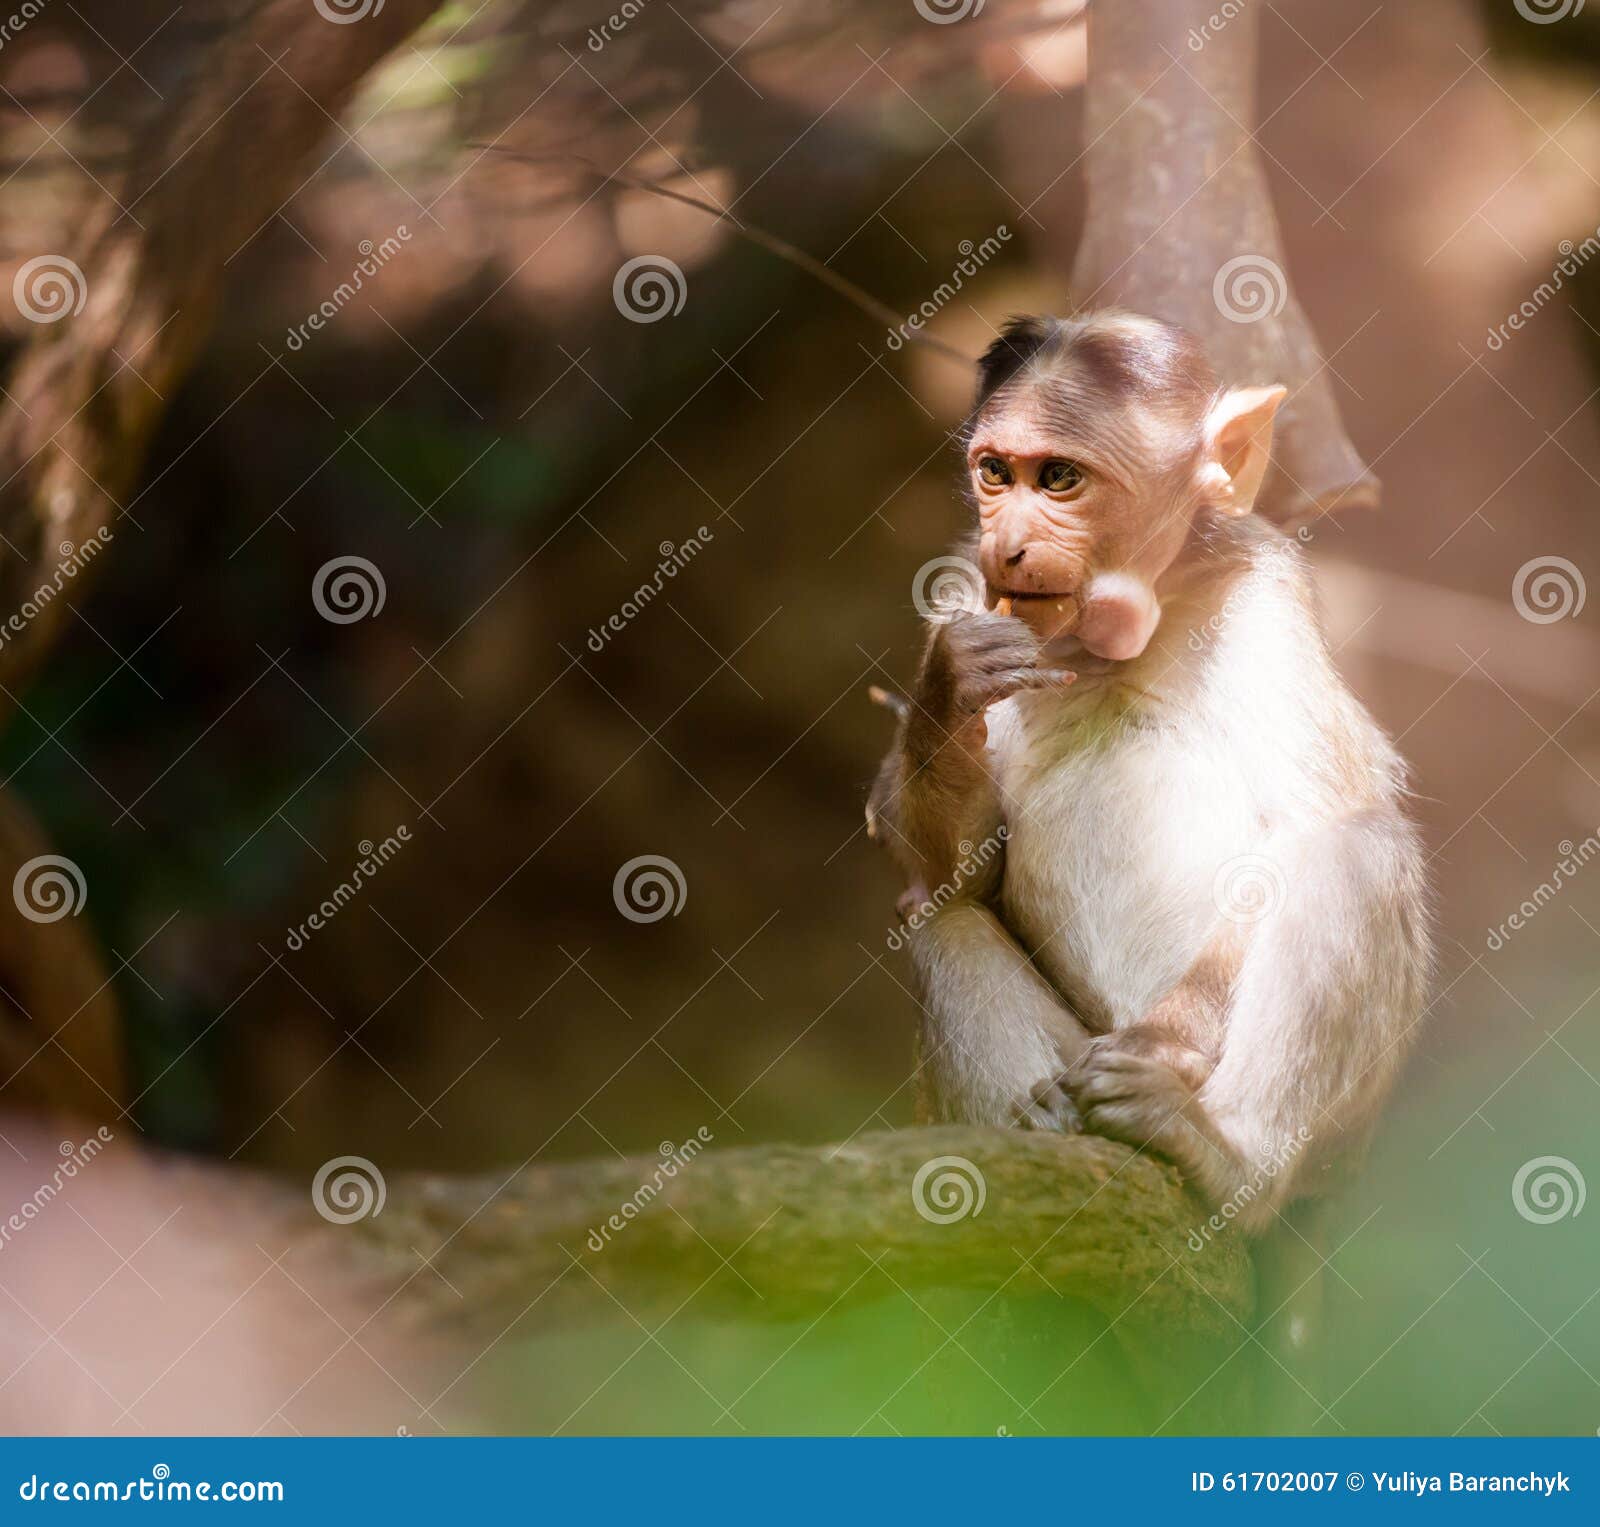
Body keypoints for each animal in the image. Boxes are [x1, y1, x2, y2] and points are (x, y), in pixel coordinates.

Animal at [867, 311, 1432, 1233]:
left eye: (1060, 477)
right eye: (995, 473)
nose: (1007, 546)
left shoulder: (1264, 589)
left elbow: (1313, 822)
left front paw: (1162, 1049)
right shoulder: (959, 592)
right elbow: (952, 878)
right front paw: (950, 688)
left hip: (1343, 1141)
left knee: (1354, 849)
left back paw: (1219, 1151)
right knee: (943, 924)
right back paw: (1036, 1136)